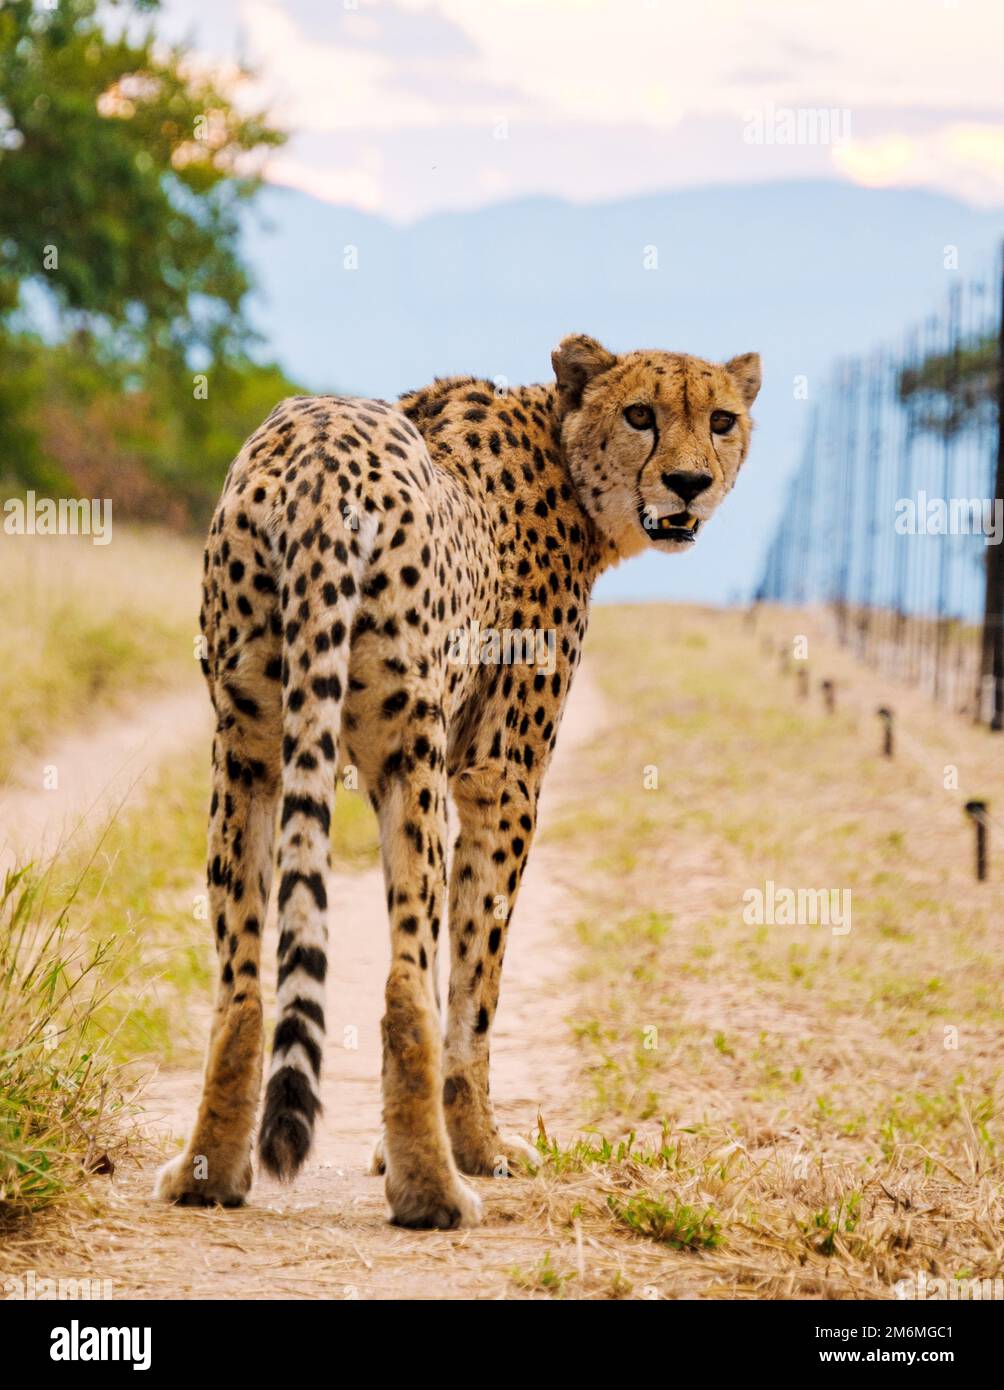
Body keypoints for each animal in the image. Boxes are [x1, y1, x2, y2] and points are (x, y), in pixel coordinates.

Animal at [154, 333, 761, 1229]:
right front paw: (479, 1145)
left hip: (248, 751)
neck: (561, 447)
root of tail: (319, 450)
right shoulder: (502, 778)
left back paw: (206, 1174)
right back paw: (434, 1192)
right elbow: (475, 986)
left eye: (721, 419)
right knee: (407, 983)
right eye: (640, 414)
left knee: (241, 989)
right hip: (410, 755)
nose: (690, 483)